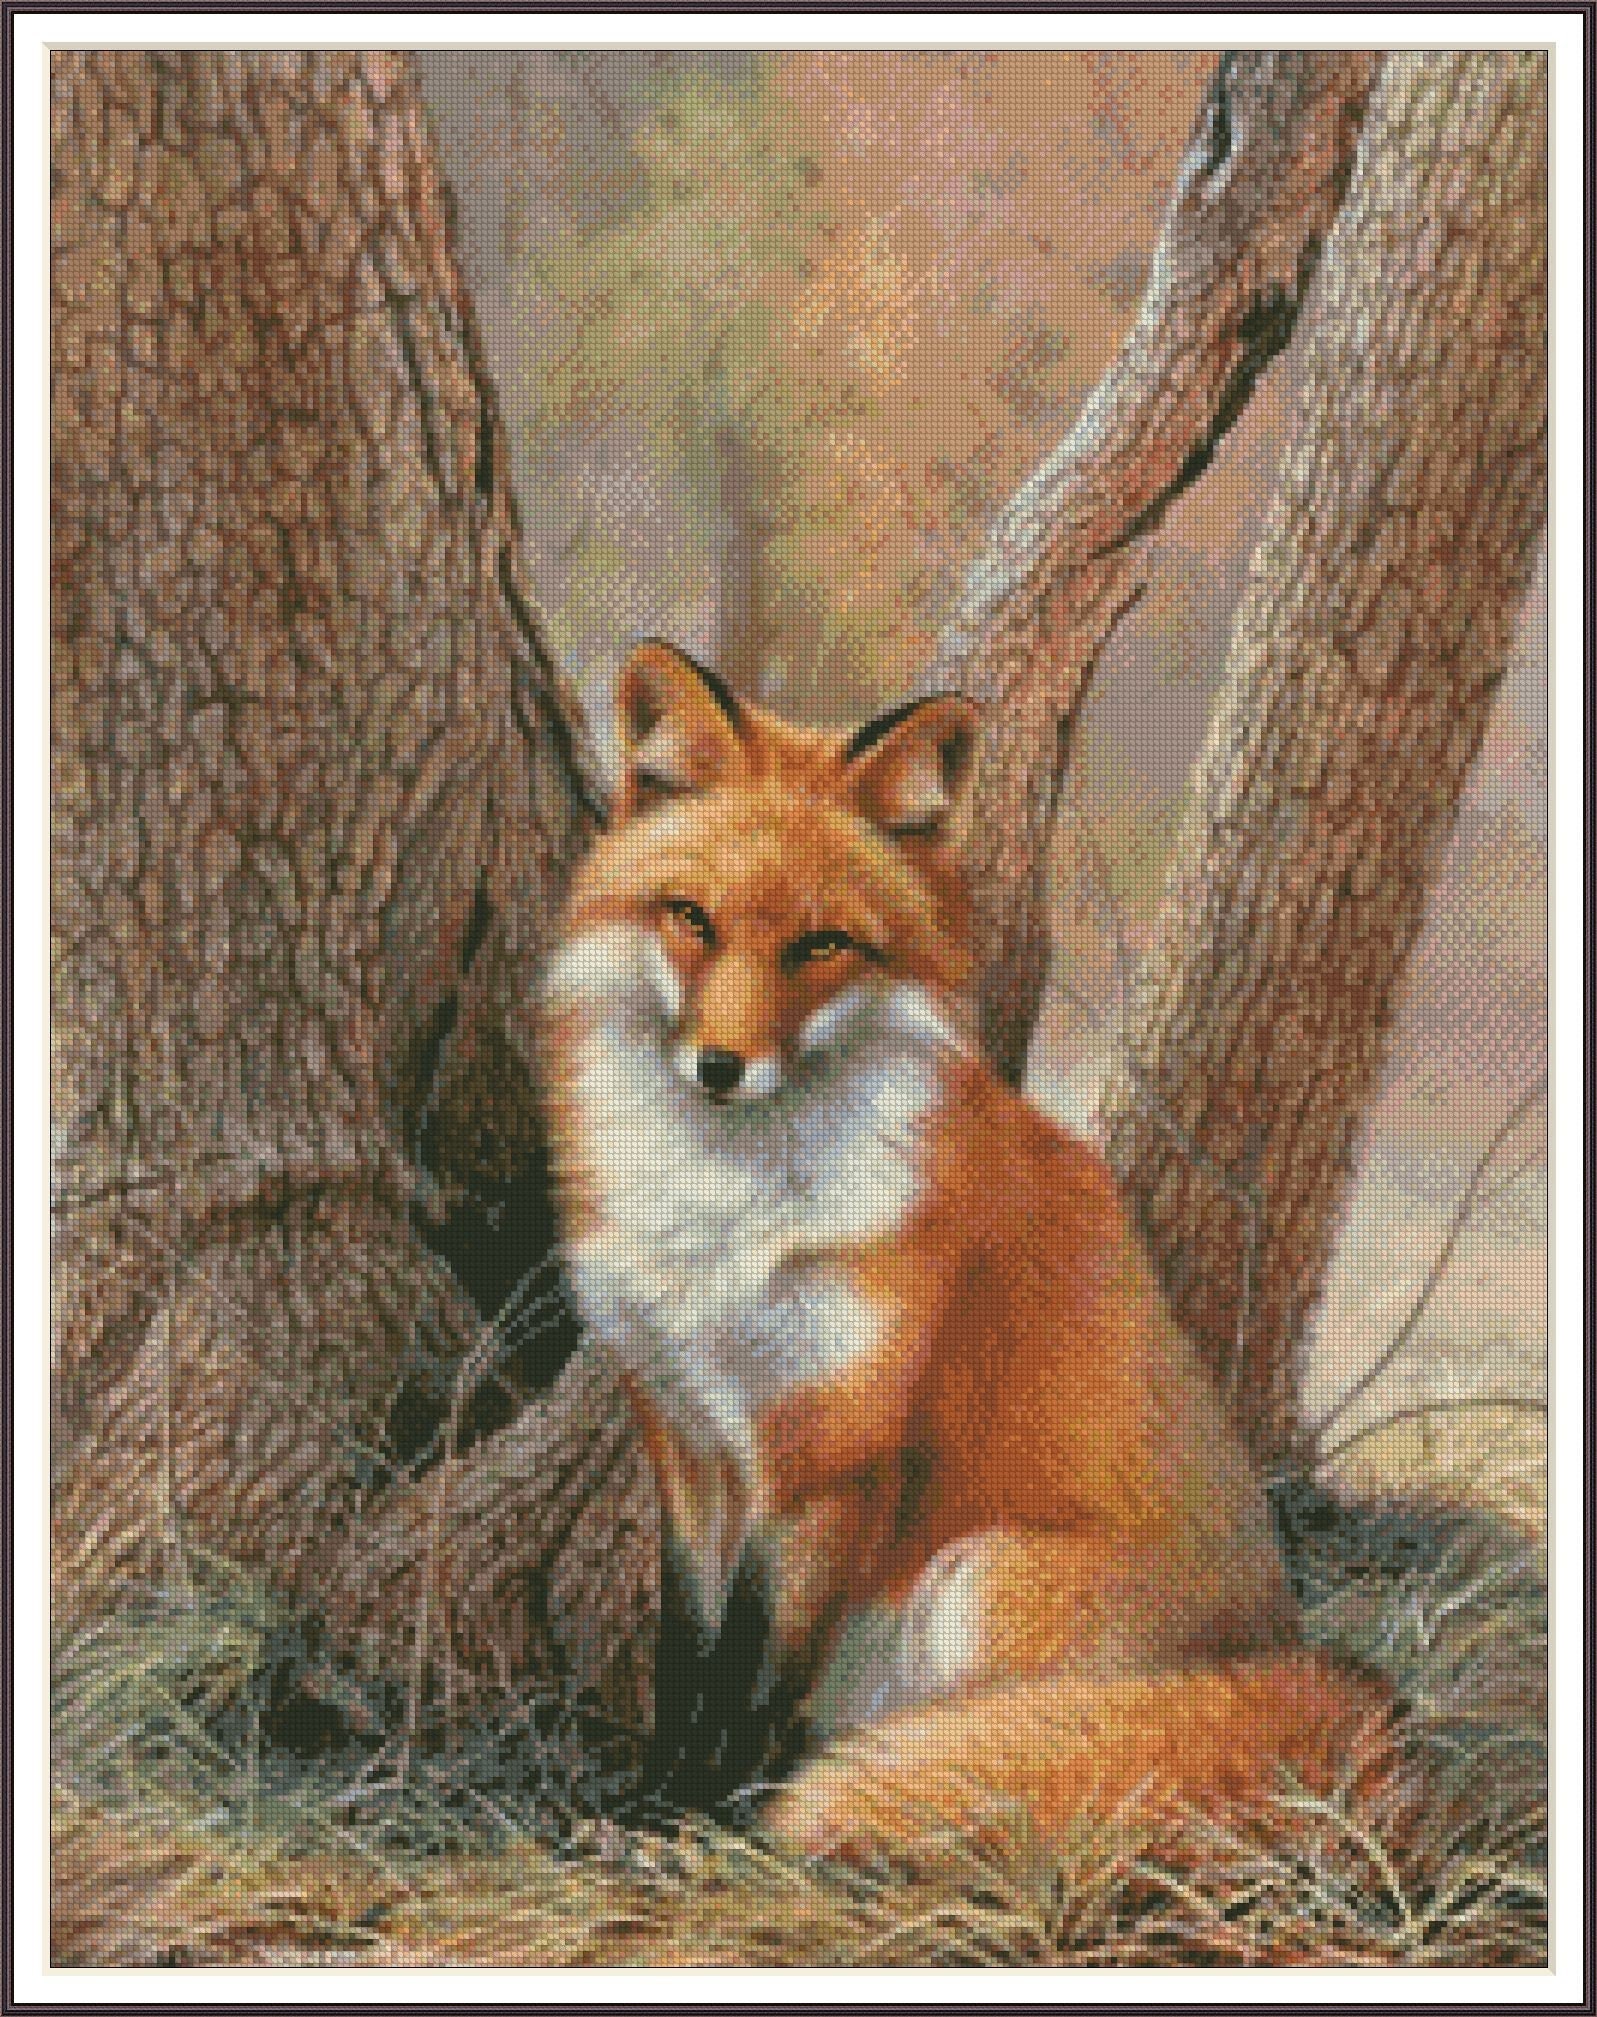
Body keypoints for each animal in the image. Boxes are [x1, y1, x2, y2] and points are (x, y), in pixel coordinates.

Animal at [541, 638, 1396, 1864]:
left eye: (821, 945)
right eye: (690, 918)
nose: (719, 1067)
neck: (724, 1219)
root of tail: (1287, 1656)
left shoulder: (830, 1455)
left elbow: (755, 1678)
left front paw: (705, 1827)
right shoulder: (691, 1440)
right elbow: (689, 1659)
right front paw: (651, 1803)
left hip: (974, 1580)